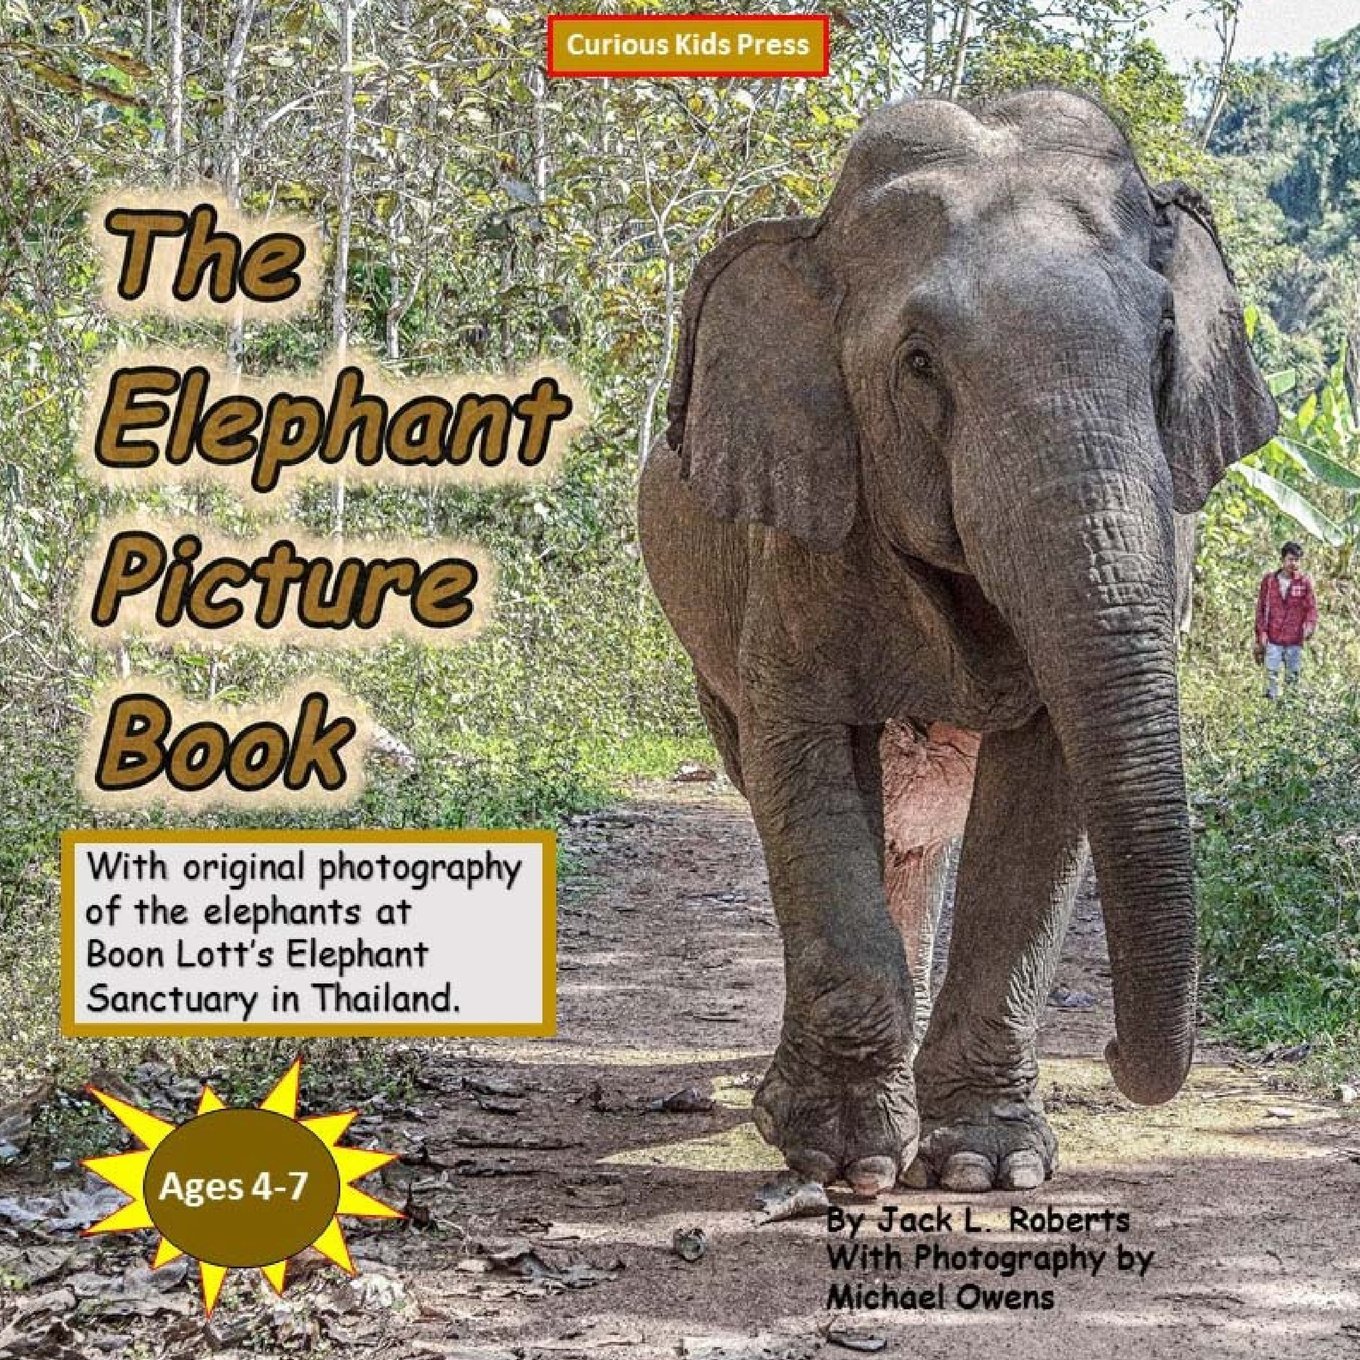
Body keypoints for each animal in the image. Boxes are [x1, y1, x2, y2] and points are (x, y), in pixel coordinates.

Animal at [636, 90, 1277, 1196]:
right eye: (918, 364)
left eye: (1162, 341)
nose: (1114, 1053)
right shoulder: (800, 526)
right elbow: (801, 751)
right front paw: (842, 1160)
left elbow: (1045, 795)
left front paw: (986, 1165)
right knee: (784, 788)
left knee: (919, 835)